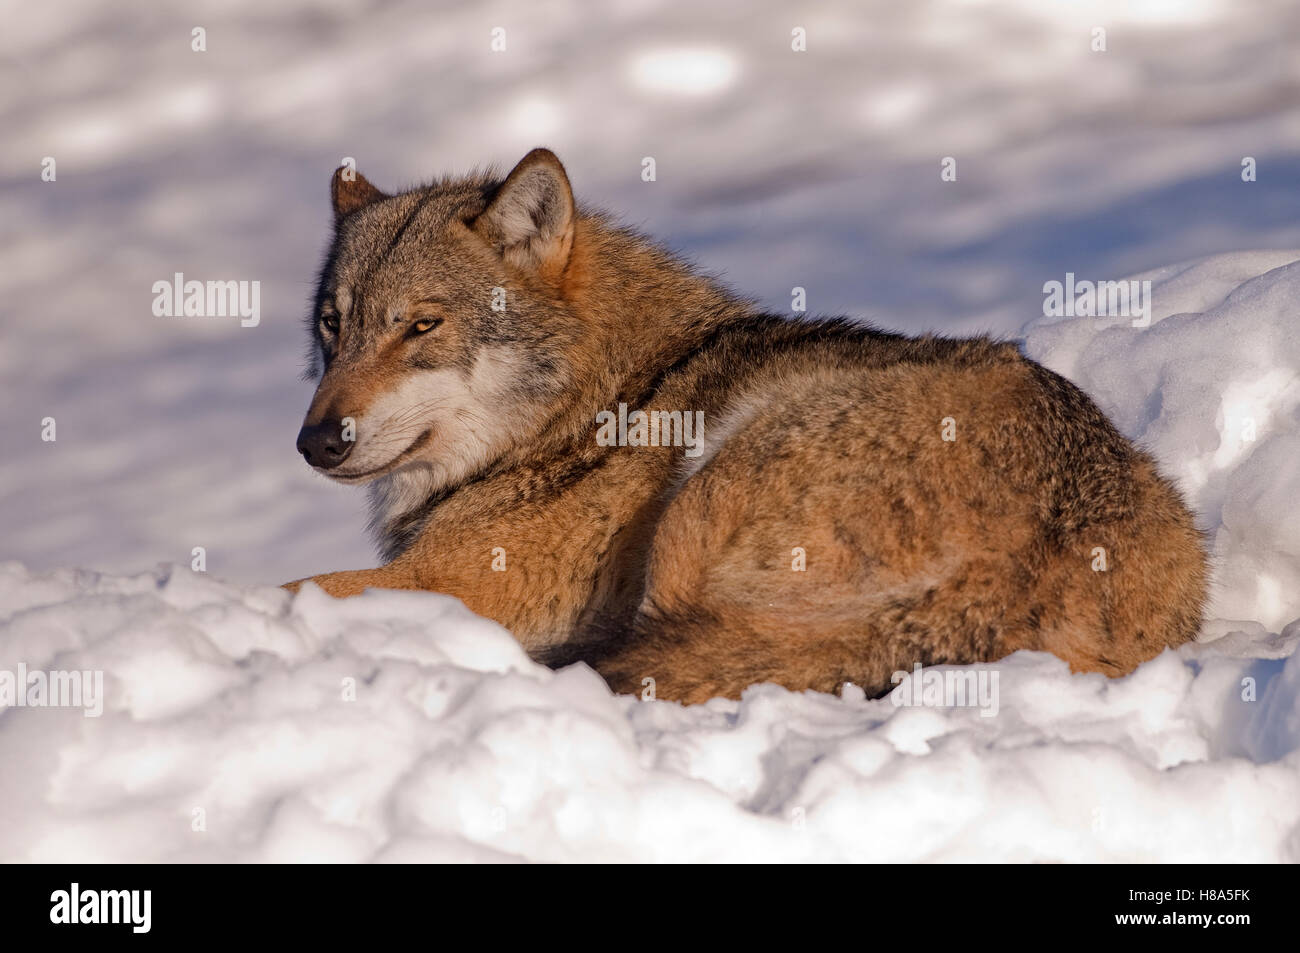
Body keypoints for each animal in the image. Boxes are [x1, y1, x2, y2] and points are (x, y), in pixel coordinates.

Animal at [284, 148, 1208, 704]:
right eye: (334, 326)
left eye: (421, 326)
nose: (315, 442)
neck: (587, 412)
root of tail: (1027, 565)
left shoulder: (464, 582)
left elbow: (291, 588)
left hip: (707, 486)